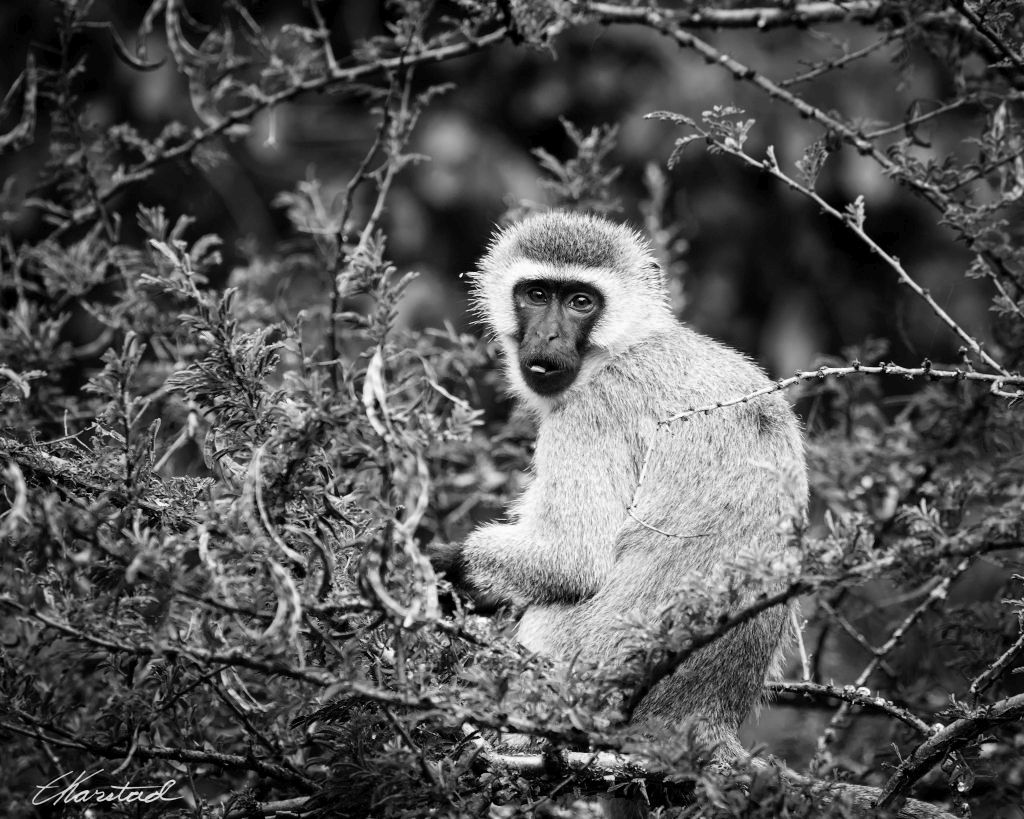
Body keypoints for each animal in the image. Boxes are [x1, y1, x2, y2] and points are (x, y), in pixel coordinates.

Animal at [430, 211, 953, 819]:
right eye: (537, 294)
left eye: (581, 301)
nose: (550, 337)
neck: (627, 344)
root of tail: (706, 719)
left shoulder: (594, 410)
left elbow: (573, 559)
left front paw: (446, 567)